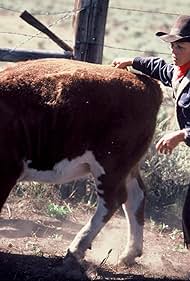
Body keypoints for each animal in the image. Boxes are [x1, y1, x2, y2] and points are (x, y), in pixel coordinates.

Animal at [0, 58, 163, 268]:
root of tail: (147, 83)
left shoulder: (6, 171)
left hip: (110, 166)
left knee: (113, 201)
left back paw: (76, 249)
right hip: (127, 167)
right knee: (136, 197)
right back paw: (129, 253)